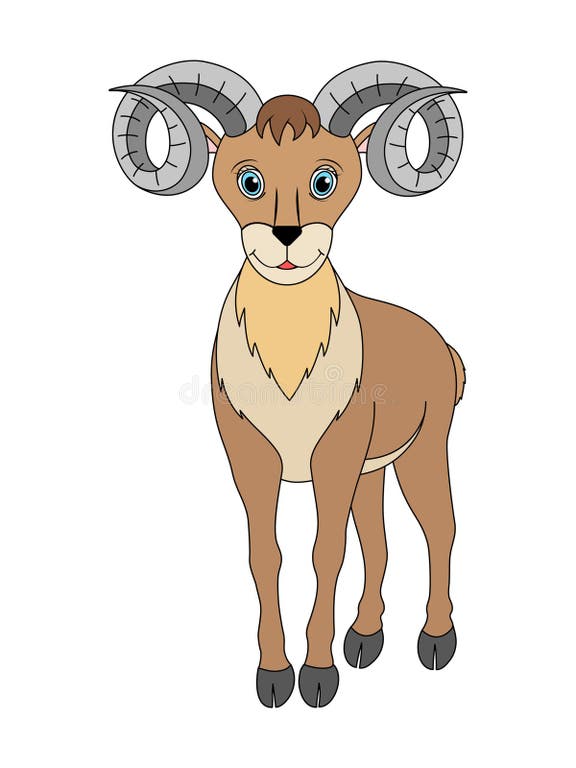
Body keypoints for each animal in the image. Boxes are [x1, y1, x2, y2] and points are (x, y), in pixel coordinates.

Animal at [111, 60, 466, 708]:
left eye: (326, 179)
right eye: (248, 179)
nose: (286, 237)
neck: (289, 377)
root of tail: (442, 348)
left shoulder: (333, 460)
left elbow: (326, 554)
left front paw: (319, 677)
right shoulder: (254, 461)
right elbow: (266, 556)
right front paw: (275, 677)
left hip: (420, 455)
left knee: (440, 529)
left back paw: (435, 642)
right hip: (373, 475)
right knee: (379, 543)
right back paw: (366, 640)